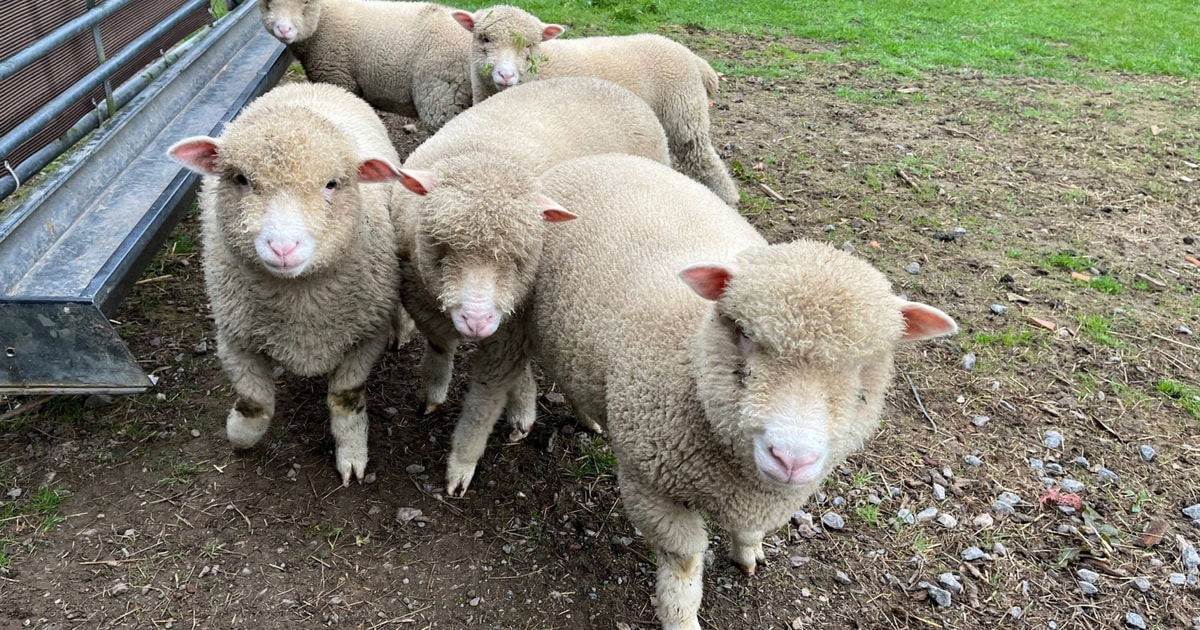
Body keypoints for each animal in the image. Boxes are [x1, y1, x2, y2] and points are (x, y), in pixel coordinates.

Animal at [166, 82, 403, 486]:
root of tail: (308, 85)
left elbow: (345, 397)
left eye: (332, 184)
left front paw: (352, 454)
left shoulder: (365, 335)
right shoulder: (235, 340)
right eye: (241, 179)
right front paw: (240, 437)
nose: (282, 247)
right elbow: (256, 403)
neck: (301, 300)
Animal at [389, 77, 671, 495]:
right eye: (440, 246)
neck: (483, 154)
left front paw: (463, 464)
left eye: (522, 258)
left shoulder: (510, 326)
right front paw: (437, 394)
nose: (476, 321)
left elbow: (485, 397)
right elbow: (442, 349)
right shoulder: (425, 300)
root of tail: (609, 85)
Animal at [450, 5, 741, 206]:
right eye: (484, 38)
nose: (506, 75)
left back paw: (728, 198)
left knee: (702, 157)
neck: (543, 65)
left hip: (684, 111)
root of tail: (692, 57)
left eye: (530, 45)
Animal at [514, 154, 958, 629]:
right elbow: (684, 562)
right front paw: (681, 616)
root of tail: (594, 157)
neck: (689, 357)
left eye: (868, 362)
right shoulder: (650, 487)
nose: (791, 459)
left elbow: (748, 529)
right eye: (743, 332)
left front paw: (748, 553)